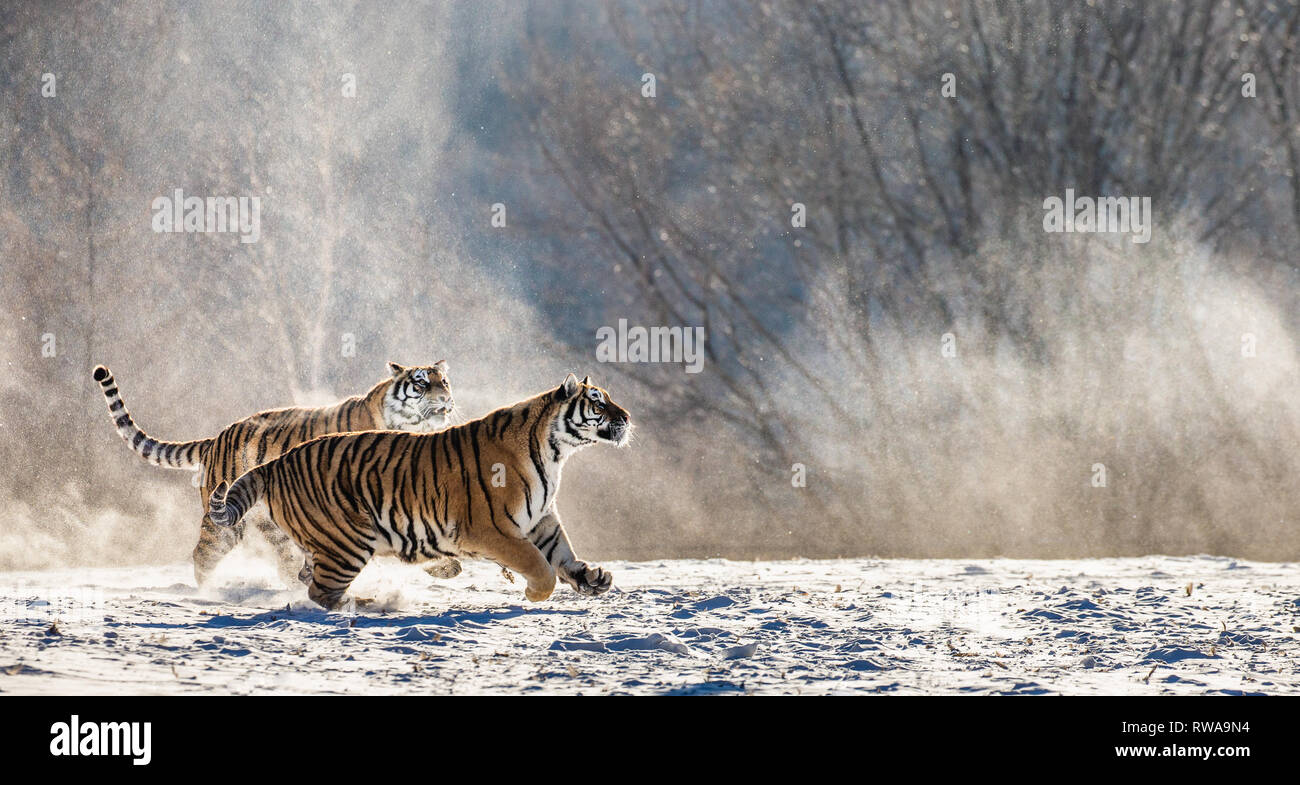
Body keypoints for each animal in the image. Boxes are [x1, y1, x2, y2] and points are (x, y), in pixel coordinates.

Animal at [93, 360, 459, 587]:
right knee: (203, 554)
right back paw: (211, 592)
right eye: (421, 384)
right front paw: (444, 566)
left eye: (443, 381)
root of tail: (215, 438)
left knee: (287, 562)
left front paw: (445, 566)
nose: (446, 398)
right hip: (226, 523)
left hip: (271, 521)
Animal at [207, 373, 630, 611]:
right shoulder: (491, 530)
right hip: (349, 540)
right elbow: (540, 566)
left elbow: (563, 554)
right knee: (320, 591)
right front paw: (533, 595)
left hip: (325, 542)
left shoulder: (541, 519)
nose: (626, 416)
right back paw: (367, 604)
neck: (556, 451)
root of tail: (277, 461)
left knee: (306, 576)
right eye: (598, 402)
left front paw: (593, 578)